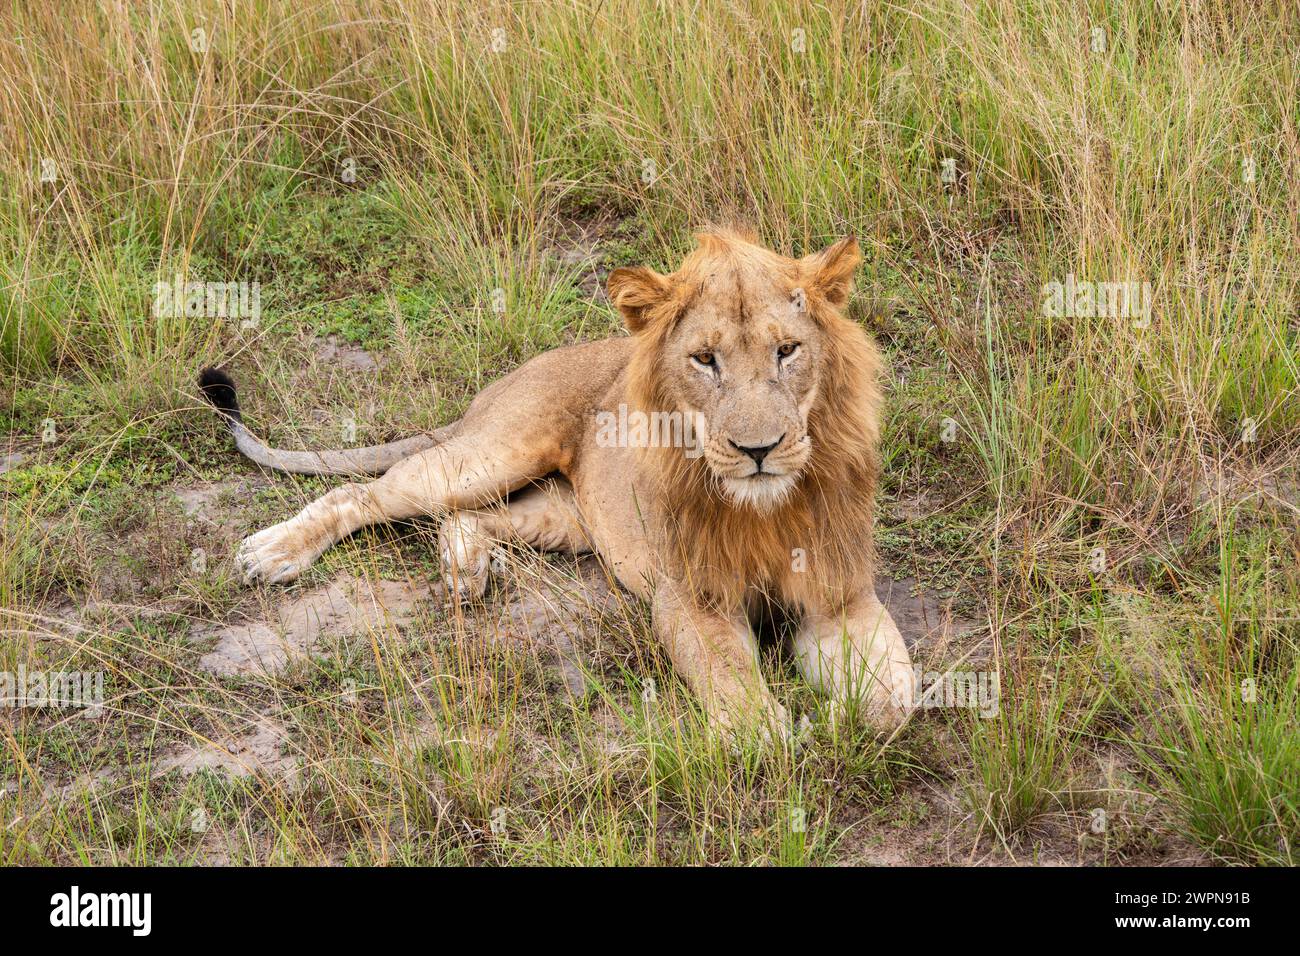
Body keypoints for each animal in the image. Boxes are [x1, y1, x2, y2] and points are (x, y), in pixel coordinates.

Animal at [199, 228, 916, 738]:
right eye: (704, 360)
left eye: (787, 351)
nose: (758, 449)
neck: (762, 510)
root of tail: (494, 388)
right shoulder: (689, 598)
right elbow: (729, 676)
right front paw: (764, 732)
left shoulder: (840, 594)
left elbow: (896, 698)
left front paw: (849, 720)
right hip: (494, 452)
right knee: (366, 495)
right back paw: (273, 552)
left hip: (567, 516)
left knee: (470, 517)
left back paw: (467, 568)